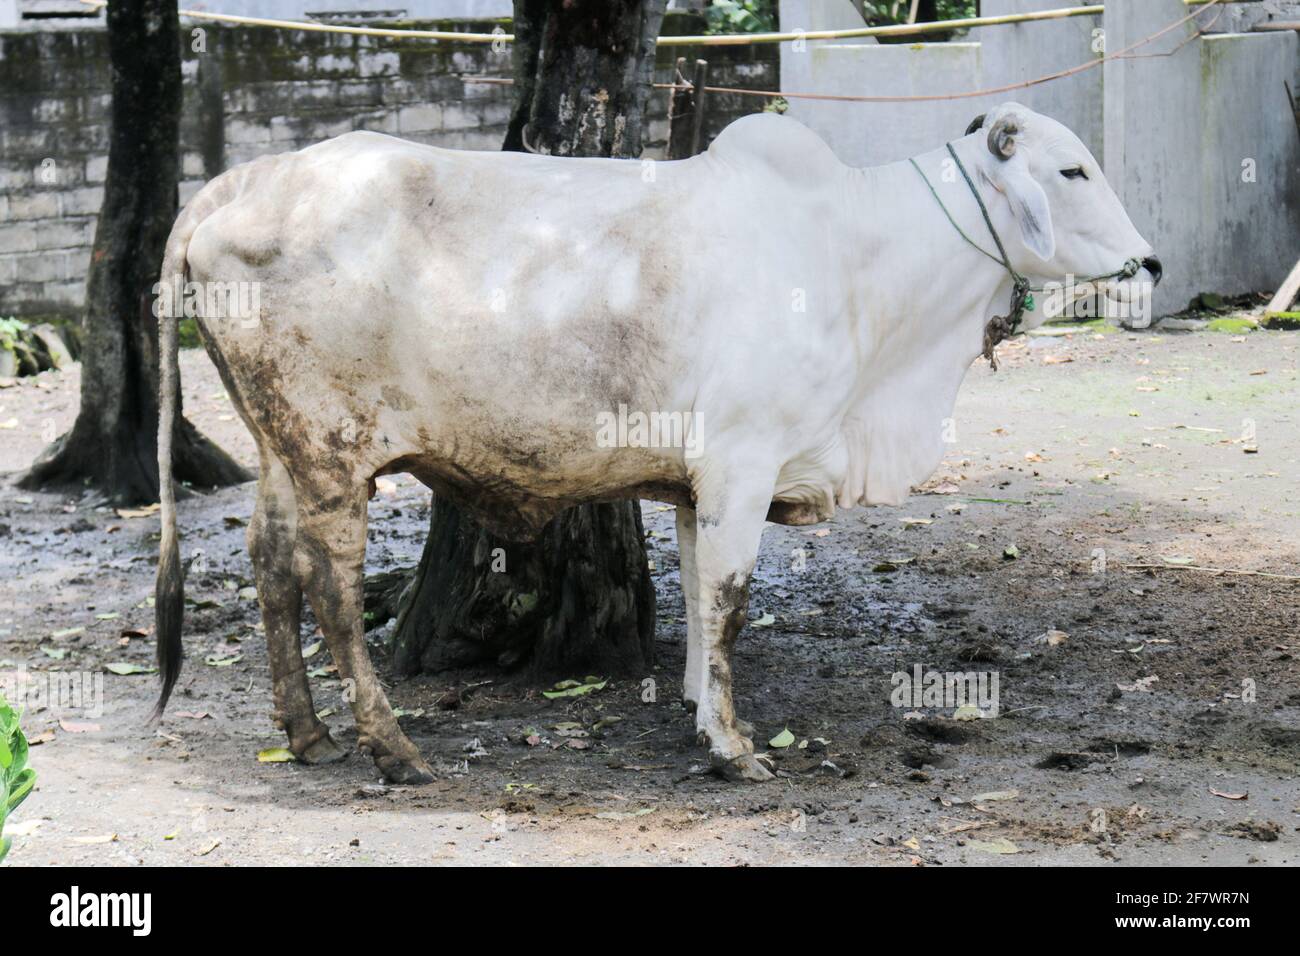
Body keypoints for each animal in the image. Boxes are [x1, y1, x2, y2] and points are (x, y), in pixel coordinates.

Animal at [154, 102, 1160, 783]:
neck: (856, 260)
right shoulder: (744, 464)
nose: (1149, 264)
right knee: (327, 584)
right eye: (1072, 172)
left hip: (278, 449)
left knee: (268, 563)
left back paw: (308, 734)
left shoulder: (695, 484)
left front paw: (695, 707)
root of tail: (242, 182)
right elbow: (732, 604)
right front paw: (733, 747)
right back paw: (391, 747)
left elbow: (700, 596)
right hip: (332, 454)